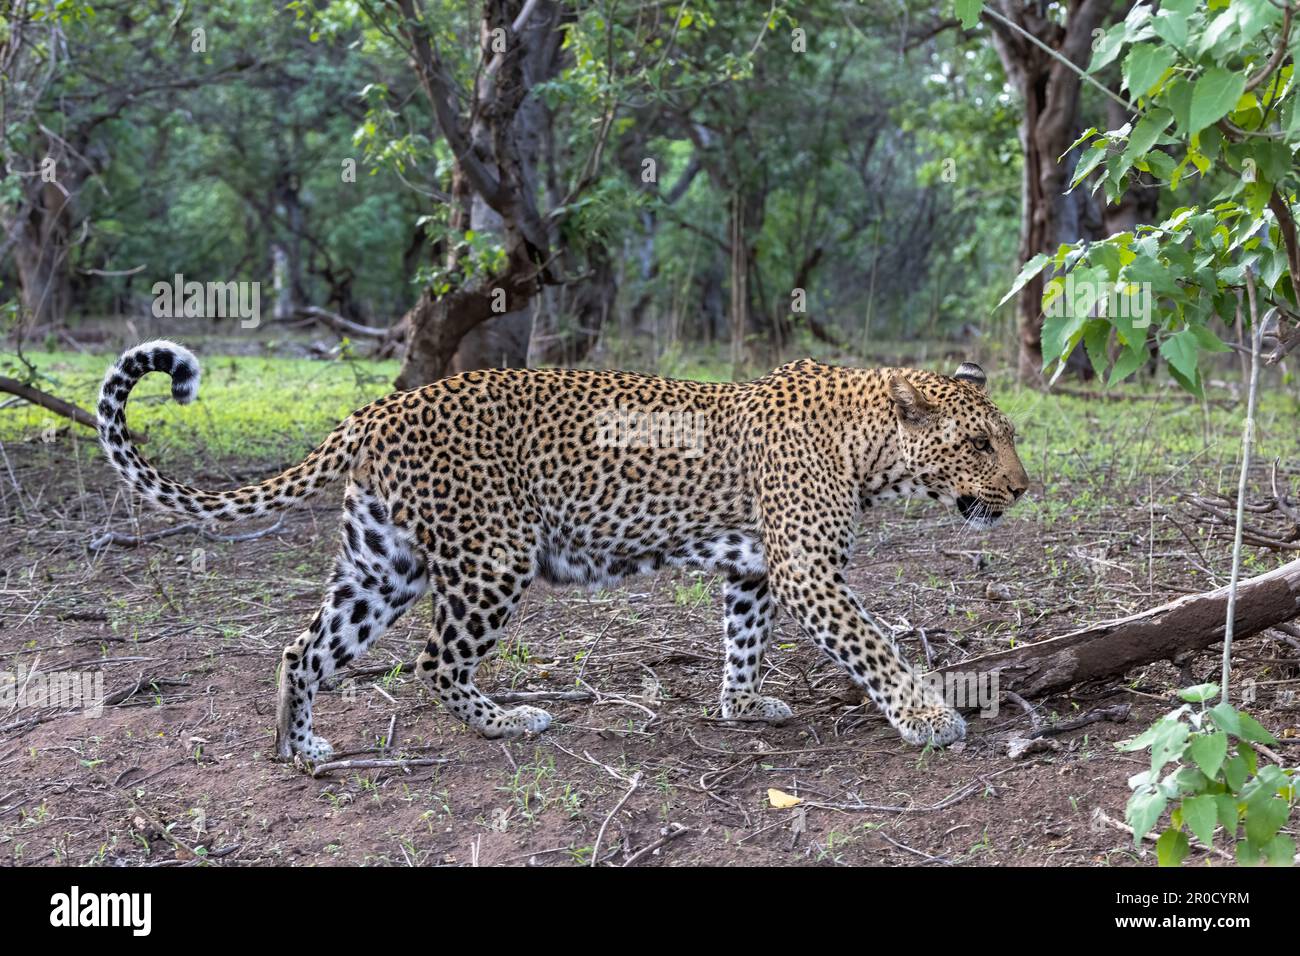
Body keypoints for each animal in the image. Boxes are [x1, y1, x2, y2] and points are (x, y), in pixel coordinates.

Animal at [96, 340, 1029, 762]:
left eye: (1007, 438)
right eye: (980, 444)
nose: (1023, 489)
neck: (872, 450)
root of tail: (377, 409)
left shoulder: (757, 568)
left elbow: (744, 643)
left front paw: (742, 705)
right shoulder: (806, 570)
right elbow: (874, 646)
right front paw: (926, 717)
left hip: (381, 564)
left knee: (302, 649)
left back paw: (300, 750)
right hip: (492, 554)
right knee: (435, 661)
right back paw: (508, 719)